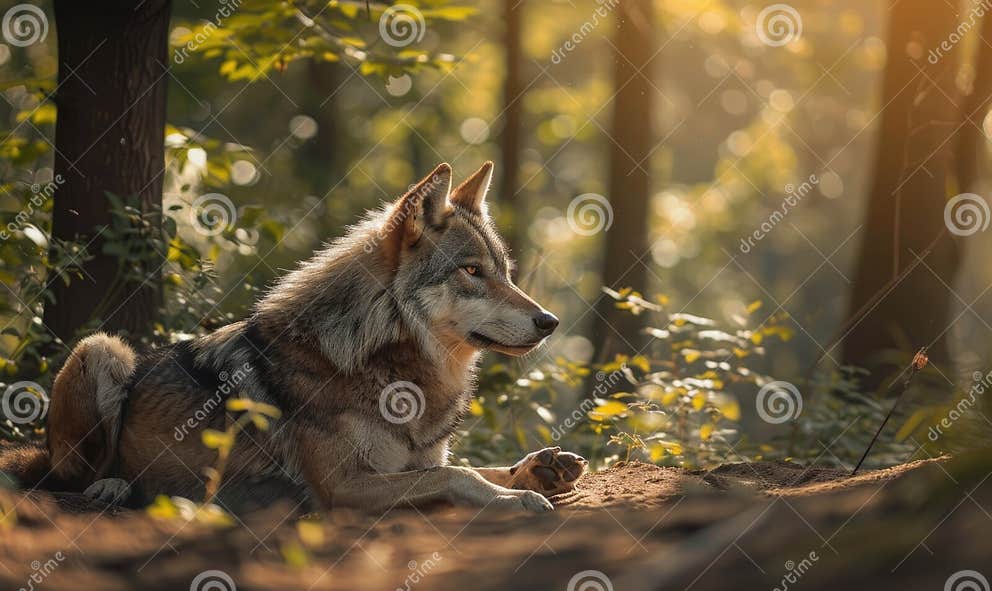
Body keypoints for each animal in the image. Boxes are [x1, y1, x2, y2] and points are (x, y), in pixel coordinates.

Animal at [1, 162, 586, 515]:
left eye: (505, 272)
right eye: (471, 271)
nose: (550, 322)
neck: (391, 366)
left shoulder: (416, 461)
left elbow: (470, 465)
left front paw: (540, 469)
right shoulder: (344, 486)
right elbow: (461, 475)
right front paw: (515, 498)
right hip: (101, 348)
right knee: (65, 474)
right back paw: (113, 486)